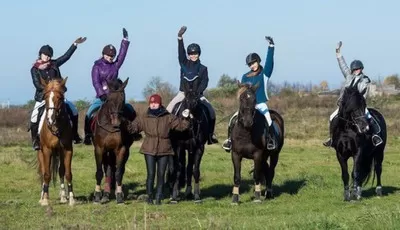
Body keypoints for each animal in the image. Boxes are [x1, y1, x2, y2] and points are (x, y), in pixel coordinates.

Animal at [37, 76, 76, 206]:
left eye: (60, 98)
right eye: (45, 97)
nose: (50, 119)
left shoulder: (67, 149)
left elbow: (68, 173)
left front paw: (71, 199)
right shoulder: (47, 150)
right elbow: (47, 174)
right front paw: (45, 199)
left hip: (59, 152)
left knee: (61, 171)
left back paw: (63, 196)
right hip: (40, 152)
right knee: (43, 170)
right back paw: (42, 196)